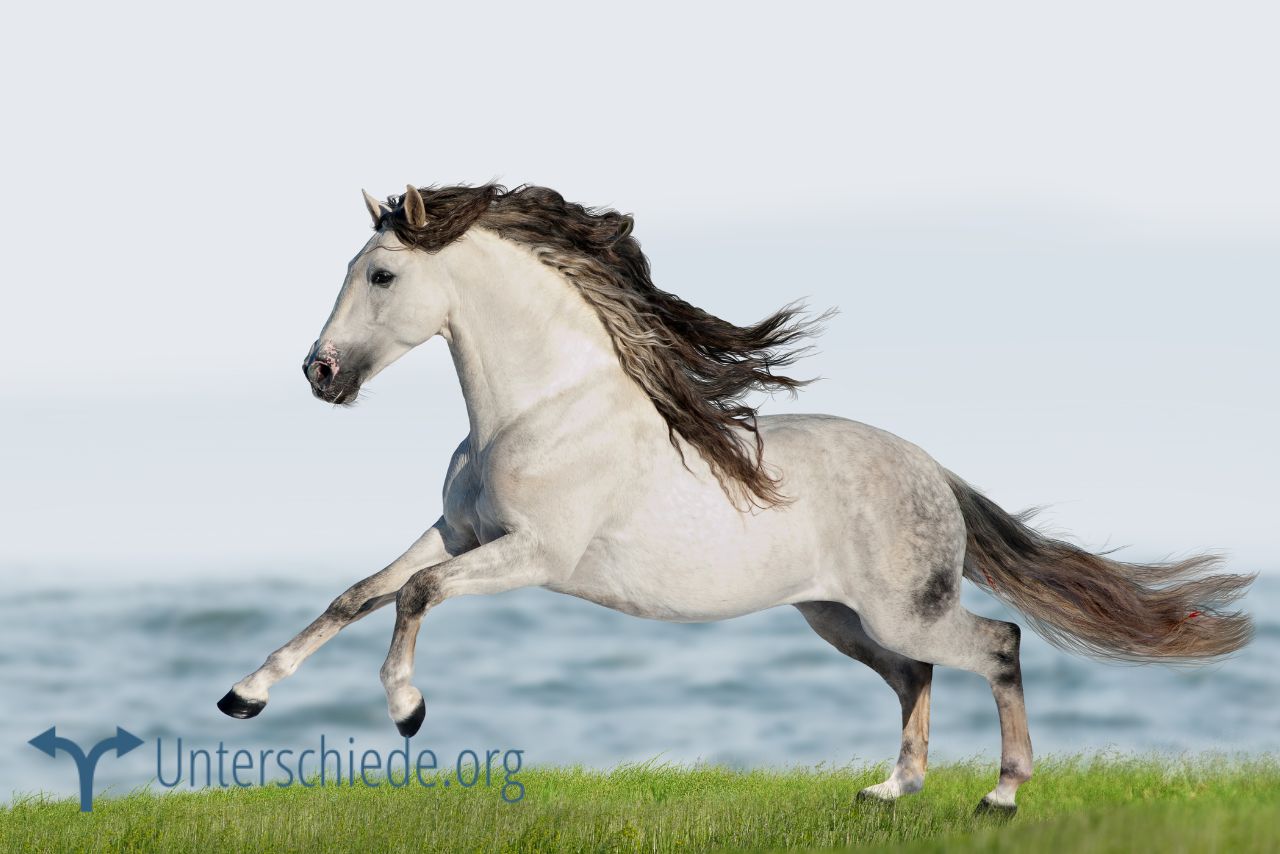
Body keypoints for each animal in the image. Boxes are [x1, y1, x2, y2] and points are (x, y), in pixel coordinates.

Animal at [218, 183, 1254, 813]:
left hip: (900, 611)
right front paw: (245, 697)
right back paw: (893, 790)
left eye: (381, 273)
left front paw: (407, 710)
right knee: (916, 676)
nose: (319, 373)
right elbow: (359, 593)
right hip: (837, 619)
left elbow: (413, 597)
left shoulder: (530, 556)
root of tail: (933, 472)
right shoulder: (458, 531)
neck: (544, 409)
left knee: (995, 645)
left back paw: (999, 794)